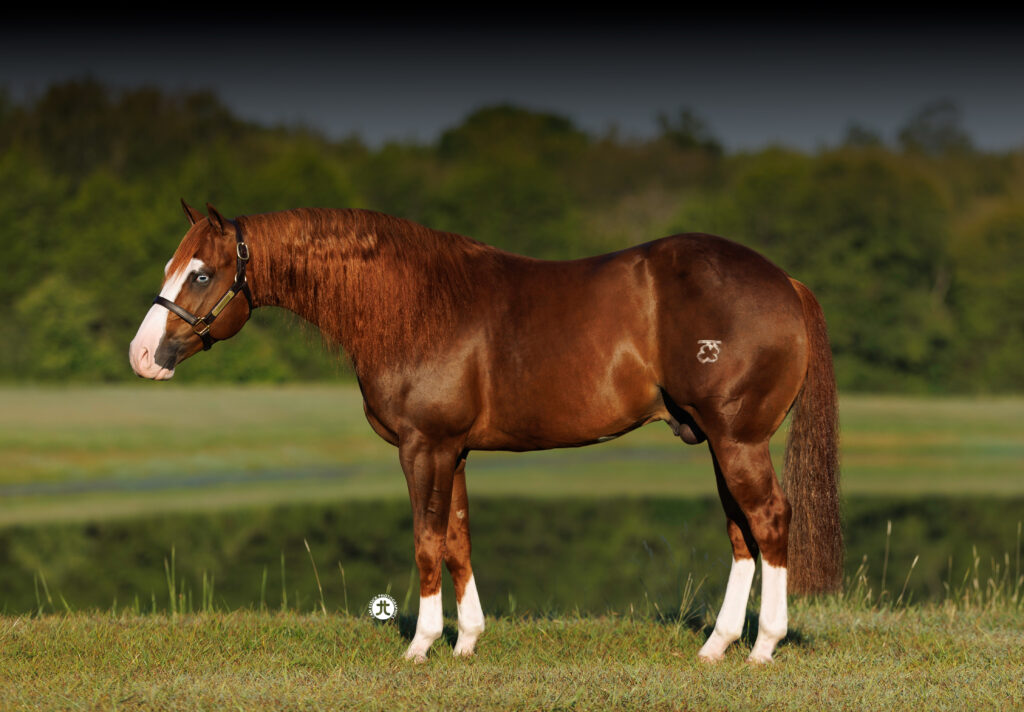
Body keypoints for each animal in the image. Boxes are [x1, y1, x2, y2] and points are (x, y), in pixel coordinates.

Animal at [129, 201, 841, 663]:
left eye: (201, 273)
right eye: (169, 265)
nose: (142, 356)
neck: (412, 303)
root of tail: (784, 282)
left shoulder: (425, 447)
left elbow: (426, 541)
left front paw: (420, 645)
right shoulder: (456, 451)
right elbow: (458, 538)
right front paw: (467, 641)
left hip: (738, 441)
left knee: (770, 521)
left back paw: (764, 647)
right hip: (720, 443)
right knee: (742, 534)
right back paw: (717, 647)